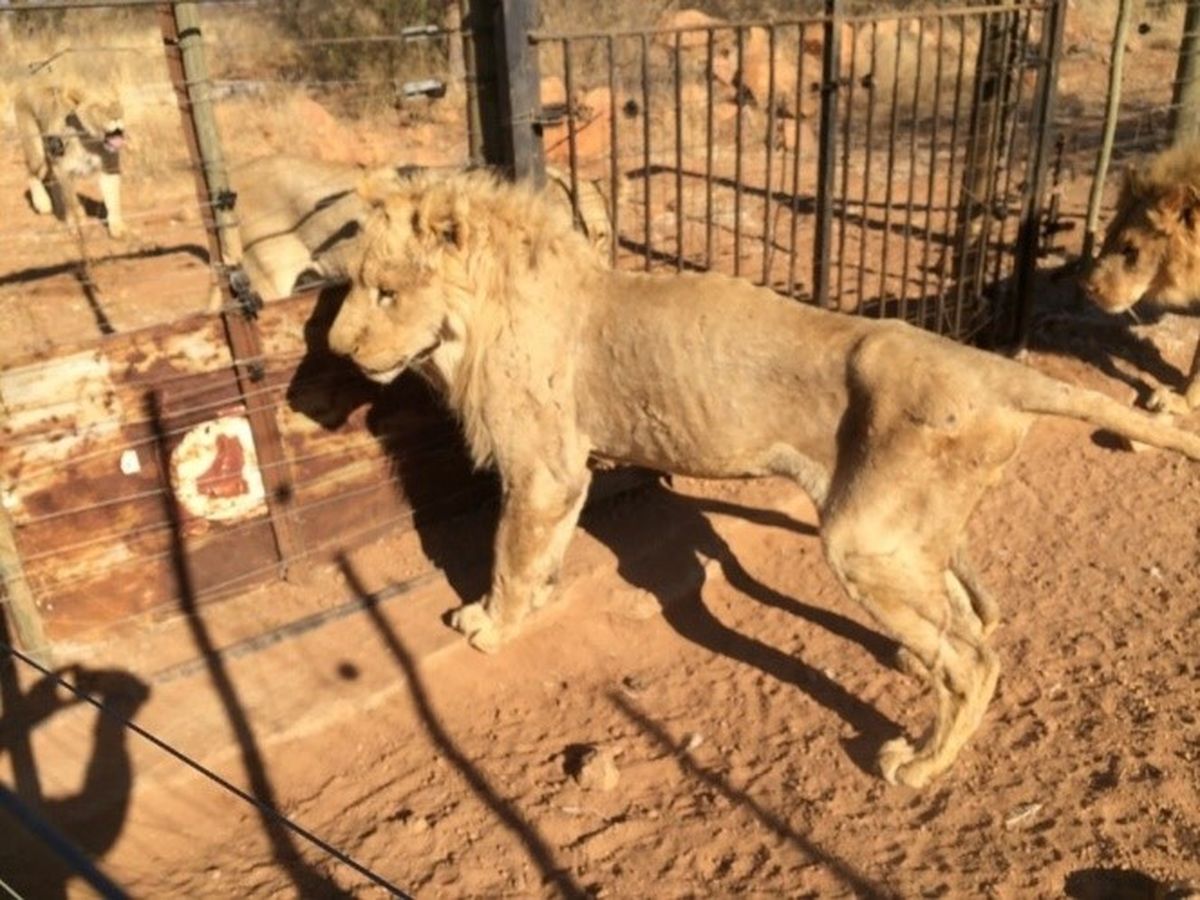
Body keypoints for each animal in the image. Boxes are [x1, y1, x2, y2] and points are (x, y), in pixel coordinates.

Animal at [15, 82, 127, 239]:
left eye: (117, 104)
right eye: (97, 107)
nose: (117, 116)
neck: (90, 143)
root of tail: (27, 84)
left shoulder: (109, 168)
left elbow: (113, 200)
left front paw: (117, 229)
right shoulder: (64, 170)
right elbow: (72, 201)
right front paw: (78, 226)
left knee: (52, 183)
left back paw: (60, 212)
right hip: (37, 153)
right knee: (31, 174)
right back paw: (43, 204)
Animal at [325, 169, 1200, 789]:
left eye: (385, 291)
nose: (336, 349)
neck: (475, 322)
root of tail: (990, 367)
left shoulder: (541, 466)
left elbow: (509, 554)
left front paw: (489, 623)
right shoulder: (563, 474)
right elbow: (541, 551)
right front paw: (536, 600)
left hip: (865, 538)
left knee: (974, 660)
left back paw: (917, 763)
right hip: (908, 535)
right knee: (967, 621)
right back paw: (913, 670)